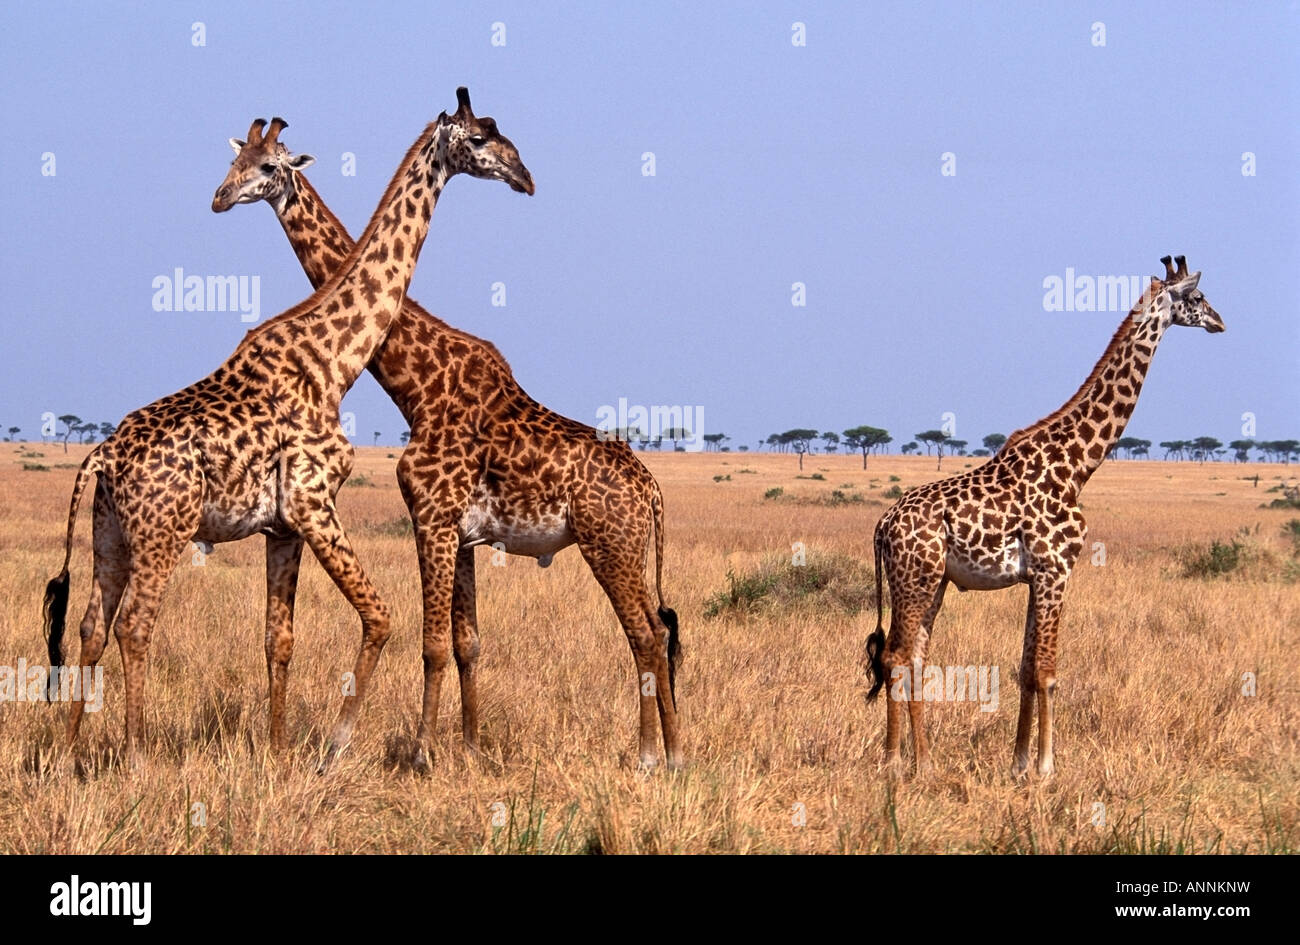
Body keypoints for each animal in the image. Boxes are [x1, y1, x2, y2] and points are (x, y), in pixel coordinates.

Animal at [43, 88, 534, 770]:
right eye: (482, 139)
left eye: (266, 164)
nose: (525, 176)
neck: (335, 361)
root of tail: (102, 457)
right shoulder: (313, 502)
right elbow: (380, 616)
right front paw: (335, 744)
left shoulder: (281, 526)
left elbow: (279, 638)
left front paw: (276, 753)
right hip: (164, 531)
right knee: (134, 625)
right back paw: (136, 758)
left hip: (109, 533)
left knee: (91, 624)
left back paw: (68, 756)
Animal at [211, 116, 683, 771]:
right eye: (234, 162)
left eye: (269, 166)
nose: (220, 198)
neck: (415, 384)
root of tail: (653, 493)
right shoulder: (462, 533)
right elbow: (467, 643)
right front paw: (472, 748)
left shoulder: (431, 516)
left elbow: (433, 643)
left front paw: (422, 755)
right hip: (630, 548)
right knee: (660, 631)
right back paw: (673, 753)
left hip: (608, 544)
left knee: (644, 633)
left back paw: (649, 757)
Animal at [864, 256, 1224, 778]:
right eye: (1196, 297)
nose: (1220, 322)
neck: (1077, 465)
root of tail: (882, 527)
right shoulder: (1057, 570)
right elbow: (1048, 671)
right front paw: (1047, 768)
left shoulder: (1037, 576)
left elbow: (1026, 668)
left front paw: (1018, 765)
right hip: (915, 578)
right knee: (894, 656)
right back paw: (893, 764)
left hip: (931, 583)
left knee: (913, 657)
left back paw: (925, 762)